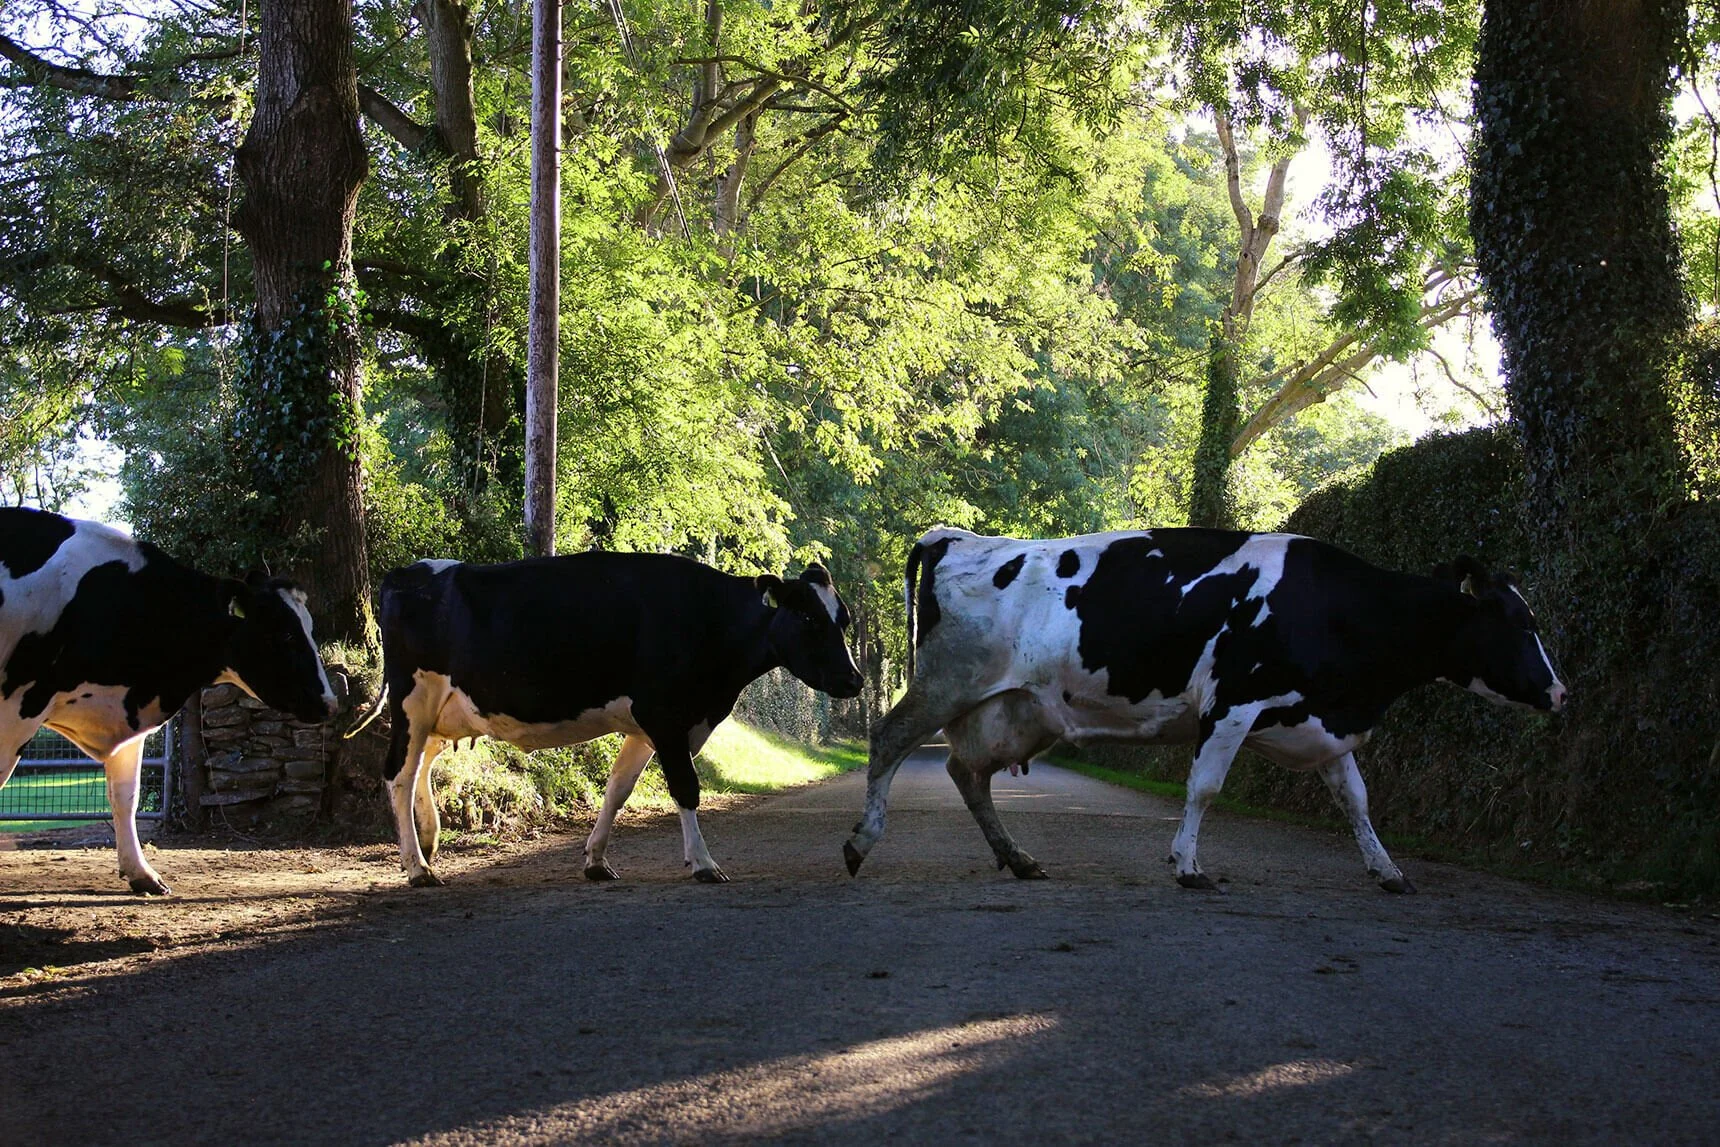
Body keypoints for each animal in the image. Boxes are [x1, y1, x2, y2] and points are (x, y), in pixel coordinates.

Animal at [0, 508, 338, 894]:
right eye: (284, 634)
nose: (330, 704)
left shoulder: (128, 717)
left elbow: (125, 797)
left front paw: (141, 873)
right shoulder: (16, 710)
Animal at [369, 552, 864, 887]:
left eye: (842, 619)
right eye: (806, 616)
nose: (854, 679)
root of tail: (405, 573)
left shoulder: (647, 726)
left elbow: (618, 789)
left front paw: (596, 861)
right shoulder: (665, 715)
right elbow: (686, 788)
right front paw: (704, 864)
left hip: (442, 711)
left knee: (421, 766)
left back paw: (428, 840)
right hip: (414, 698)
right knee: (398, 774)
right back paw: (418, 867)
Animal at [843, 527, 1566, 893]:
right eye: (1518, 621)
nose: (1561, 693)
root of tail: (955, 536)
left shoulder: (1321, 723)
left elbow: (1357, 800)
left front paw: (1386, 869)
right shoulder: (1233, 703)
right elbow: (1205, 787)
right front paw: (1187, 865)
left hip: (1014, 711)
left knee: (965, 774)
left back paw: (1017, 858)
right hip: (947, 681)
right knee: (889, 739)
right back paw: (861, 841)